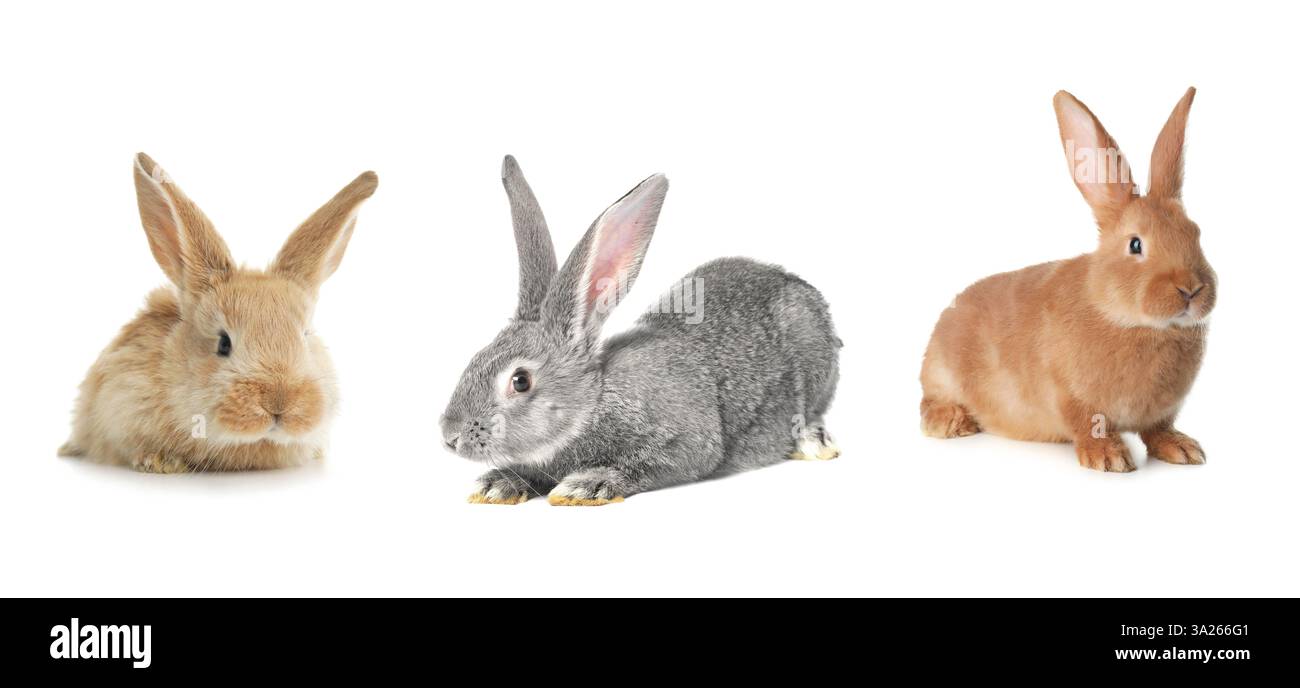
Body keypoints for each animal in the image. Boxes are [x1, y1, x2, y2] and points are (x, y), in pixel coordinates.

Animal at [440, 156, 842, 505]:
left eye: (520, 380)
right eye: (476, 357)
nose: (449, 437)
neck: (594, 402)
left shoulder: (688, 441)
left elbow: (650, 465)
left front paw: (586, 485)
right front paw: (498, 484)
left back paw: (814, 442)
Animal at [920, 87, 1215, 472]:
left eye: (1196, 233)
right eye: (1135, 244)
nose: (1191, 289)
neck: (1123, 316)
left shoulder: (1161, 413)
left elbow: (1158, 429)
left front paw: (1182, 448)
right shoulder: (1069, 395)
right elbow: (1086, 423)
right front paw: (1108, 458)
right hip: (941, 375)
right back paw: (954, 422)